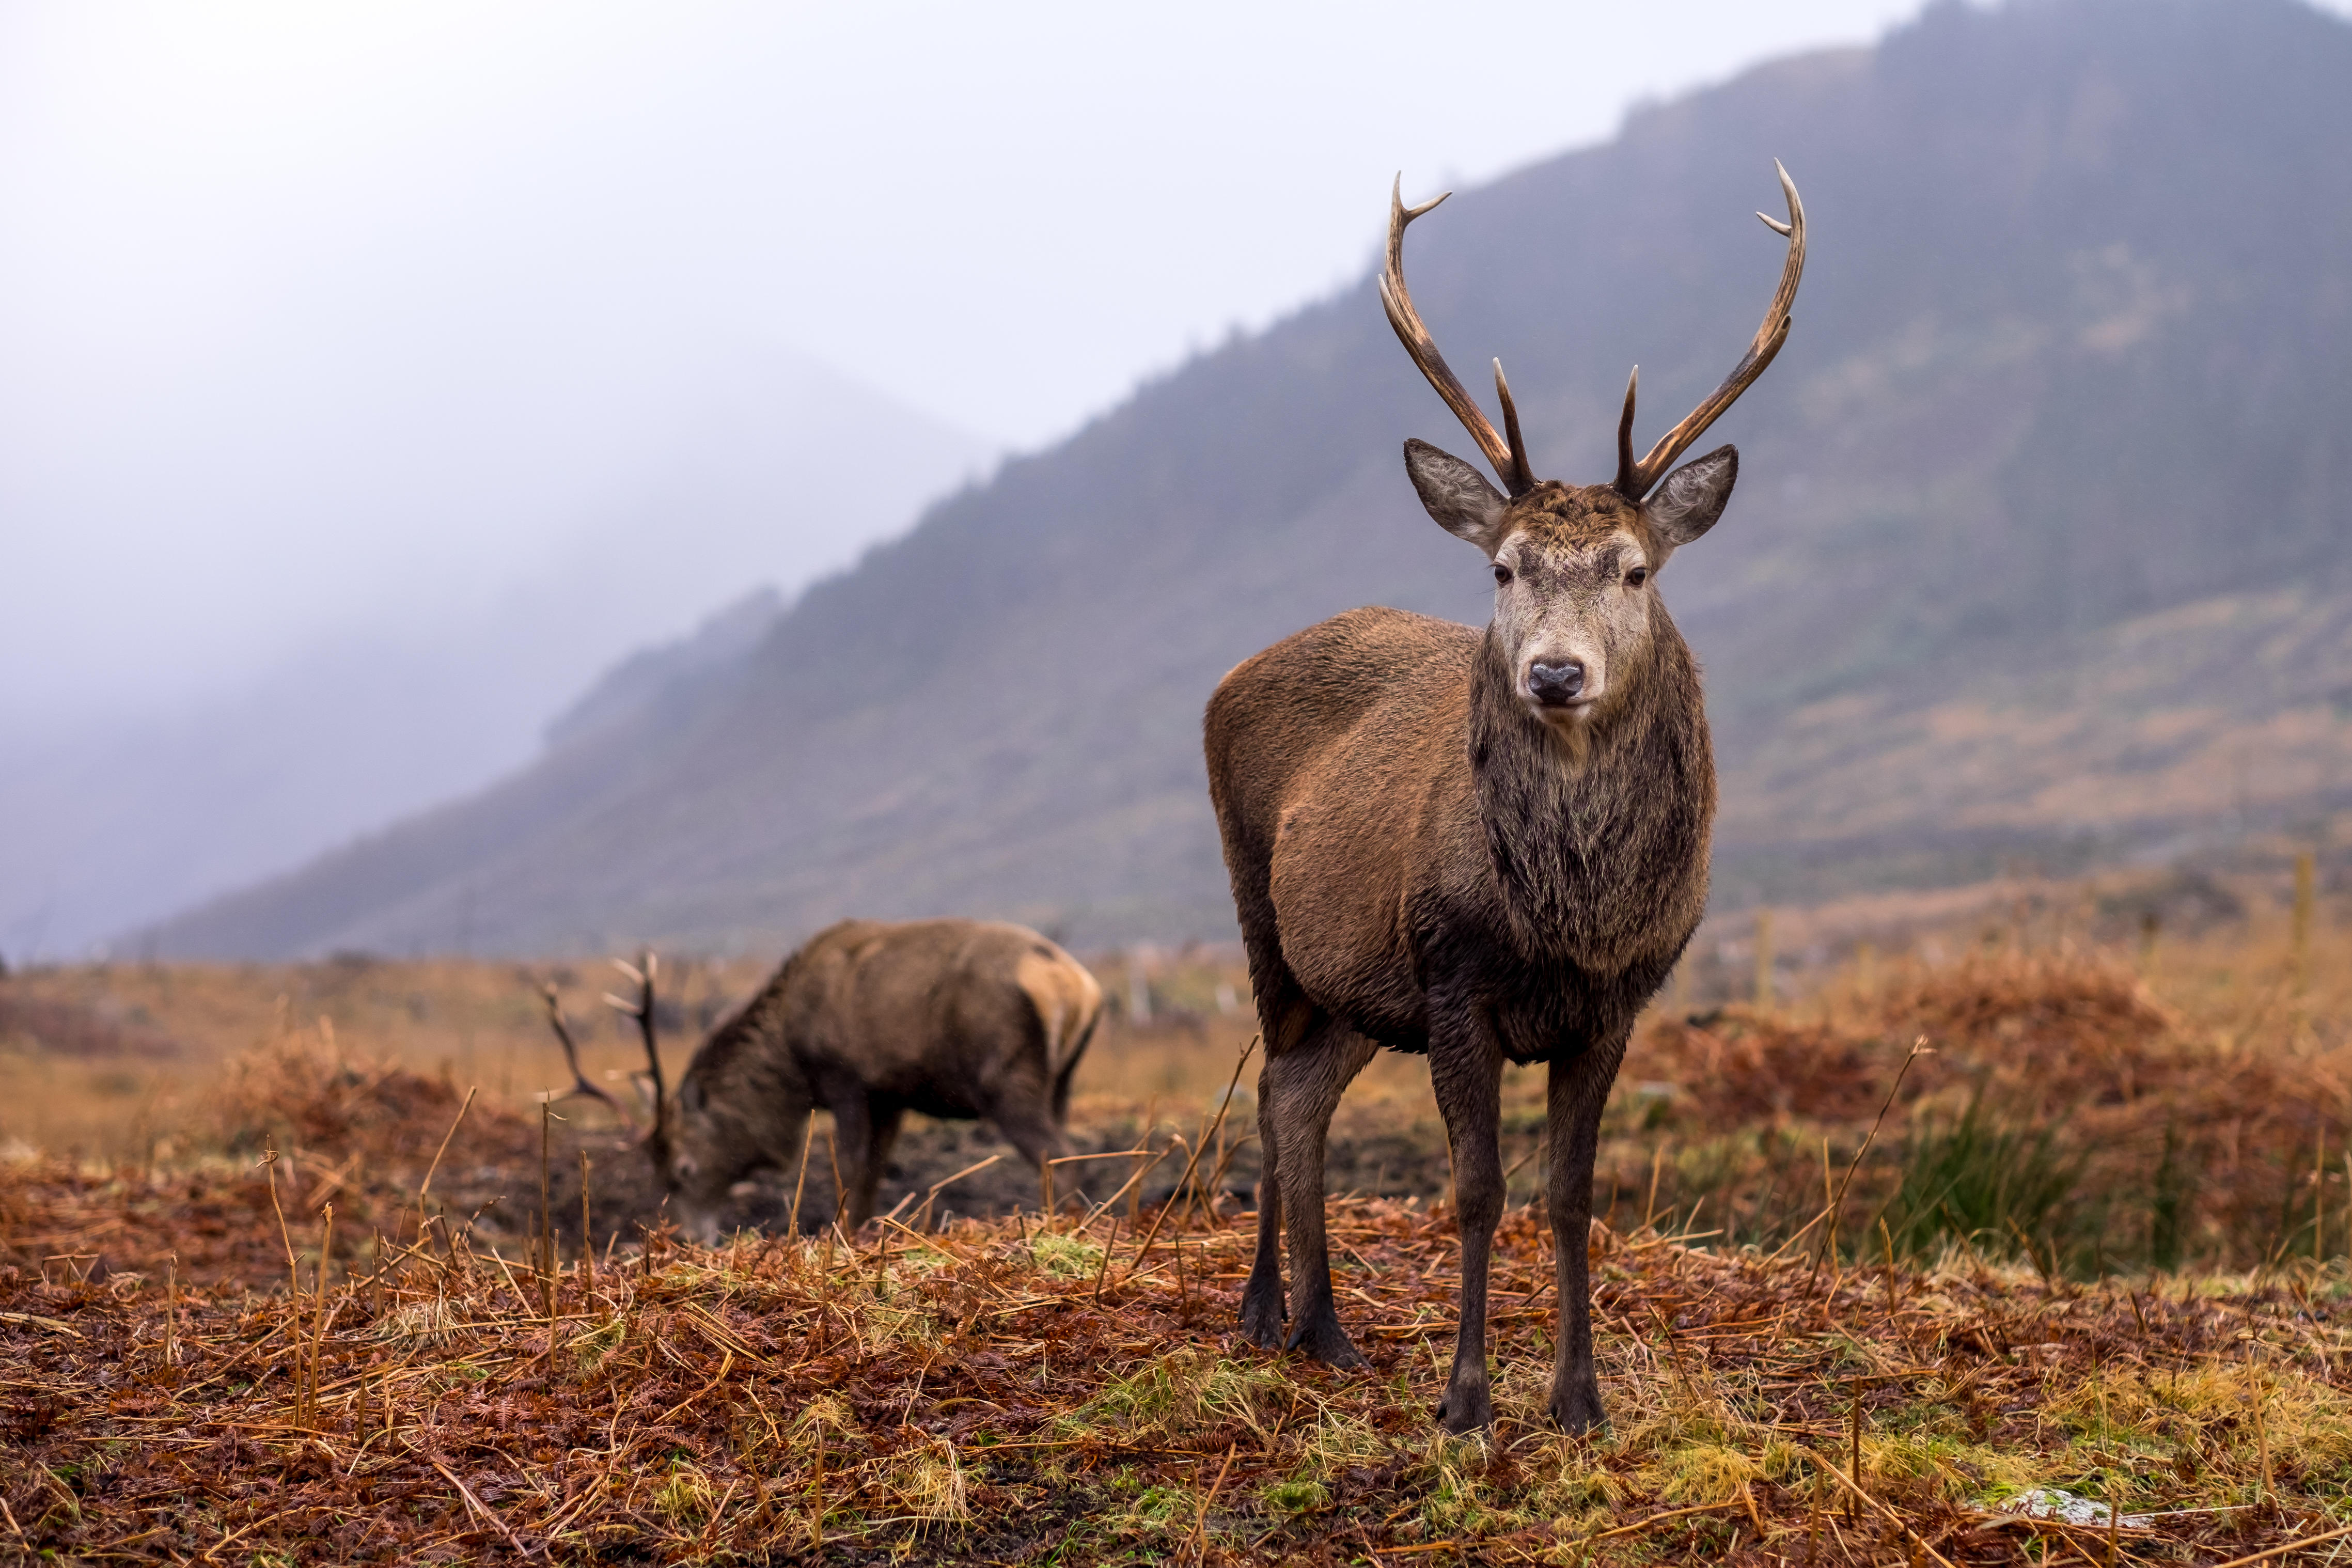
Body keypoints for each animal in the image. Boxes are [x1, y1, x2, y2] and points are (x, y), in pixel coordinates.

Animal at [544, 919, 1105, 1243]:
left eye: (682, 1169)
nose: (690, 1239)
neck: (791, 1063)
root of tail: (1078, 985)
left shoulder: (847, 1078)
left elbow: (853, 1165)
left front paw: (840, 1236)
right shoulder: (892, 1094)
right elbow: (875, 1170)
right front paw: (866, 1232)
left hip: (1006, 1075)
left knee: (1059, 1155)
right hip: (1064, 1077)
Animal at [1204, 164, 1805, 1434]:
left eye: (1633, 569)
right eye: (1502, 567)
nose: (1555, 674)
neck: (1566, 920)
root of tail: (1232, 677)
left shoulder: (1620, 1000)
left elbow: (1571, 1198)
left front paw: (1580, 1398)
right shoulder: (1452, 974)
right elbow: (1475, 1192)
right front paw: (1467, 1395)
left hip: (1357, 983)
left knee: (1302, 1094)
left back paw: (1326, 1329)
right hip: (1263, 916)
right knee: (1272, 1081)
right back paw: (1265, 1312)